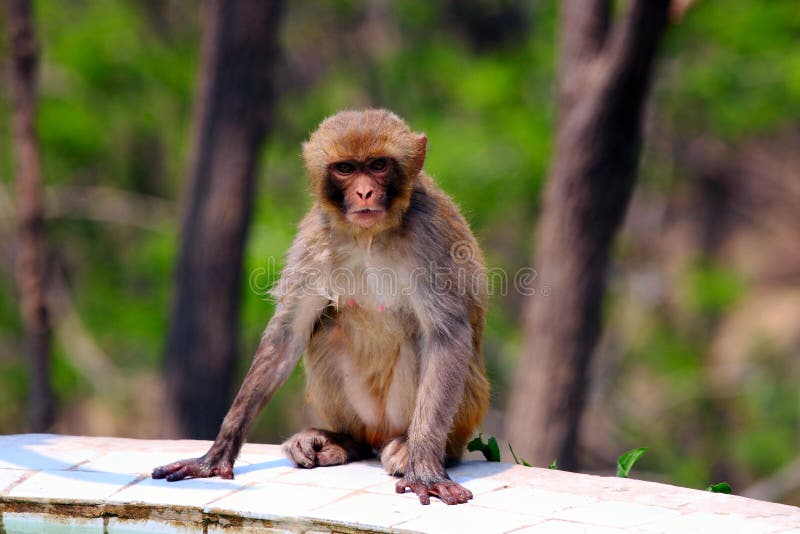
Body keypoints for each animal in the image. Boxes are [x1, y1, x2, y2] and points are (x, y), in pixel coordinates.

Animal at [152, 109, 490, 505]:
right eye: (345, 168)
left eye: (378, 165)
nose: (364, 192)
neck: (369, 236)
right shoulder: (316, 233)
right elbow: (289, 333)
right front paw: (217, 453)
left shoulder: (428, 234)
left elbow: (445, 336)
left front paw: (424, 469)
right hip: (364, 415)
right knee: (329, 328)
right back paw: (342, 441)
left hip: (454, 414)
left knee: (419, 340)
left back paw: (412, 448)